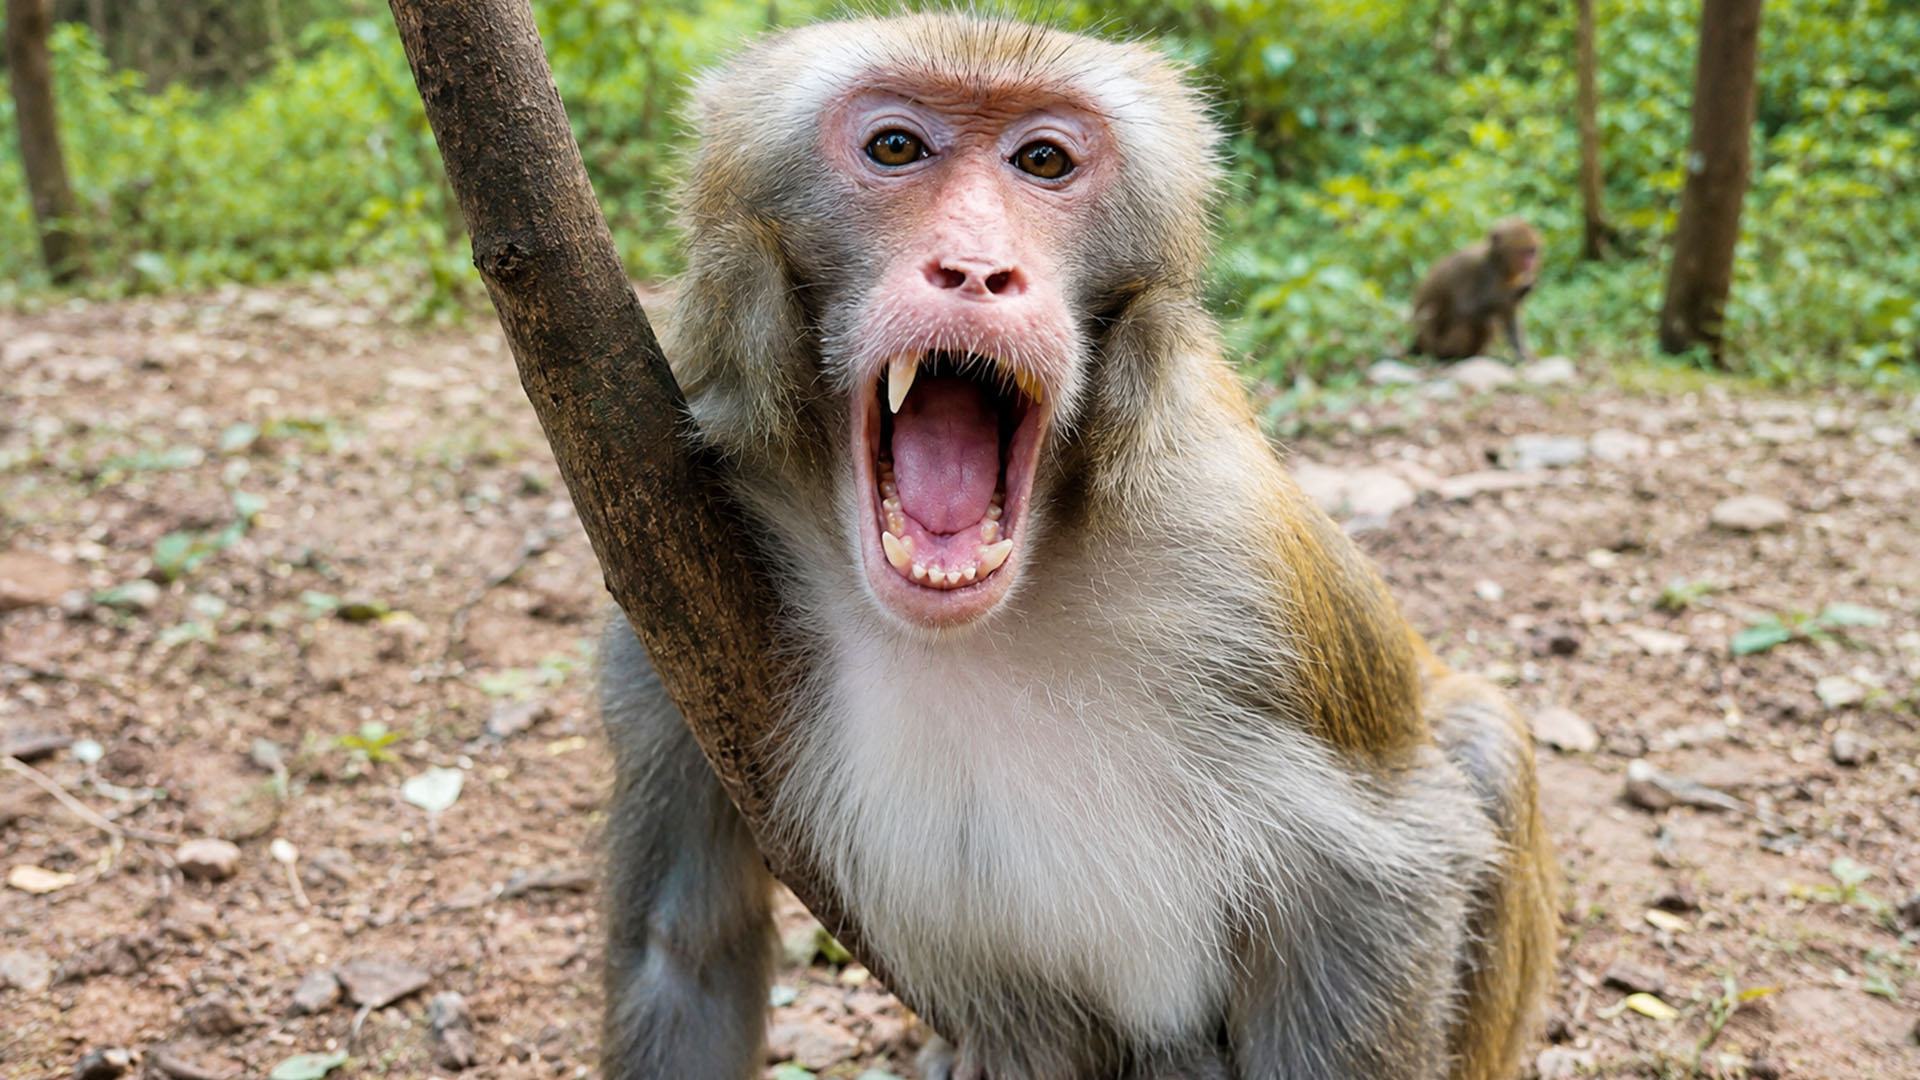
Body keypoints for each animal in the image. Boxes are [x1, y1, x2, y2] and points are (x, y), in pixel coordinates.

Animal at [1409, 216, 1544, 363]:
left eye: (1532, 251)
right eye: (1523, 253)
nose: (1530, 263)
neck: (1497, 264)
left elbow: (1509, 317)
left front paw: (1522, 354)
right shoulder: (1474, 268)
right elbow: (1466, 308)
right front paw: (1517, 293)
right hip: (1437, 345)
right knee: (1479, 320)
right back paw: (1455, 356)